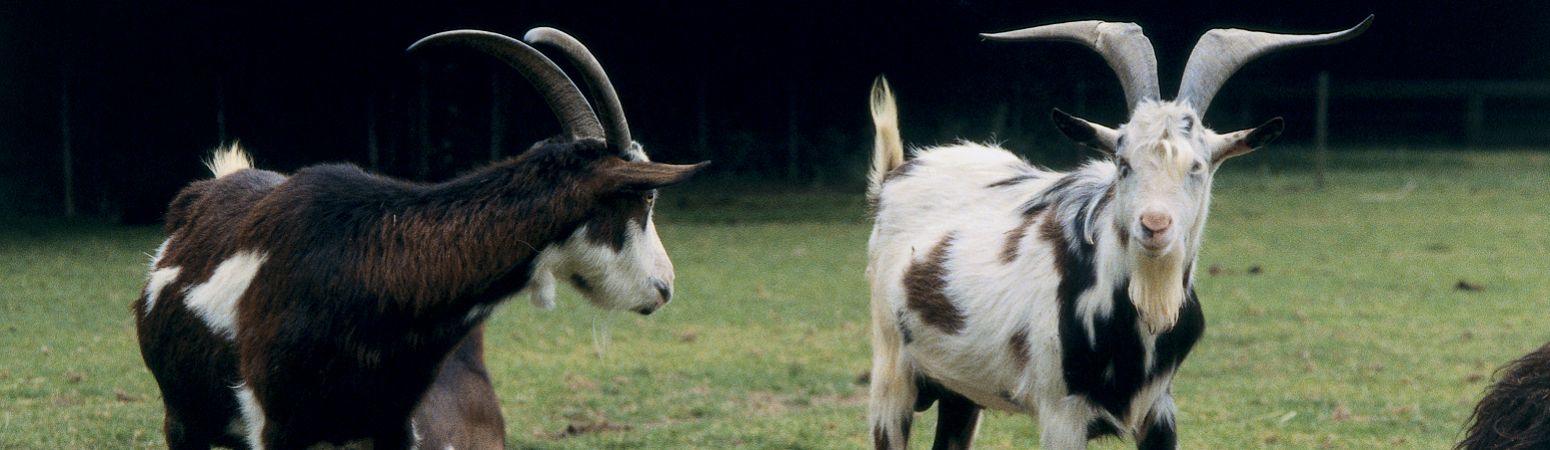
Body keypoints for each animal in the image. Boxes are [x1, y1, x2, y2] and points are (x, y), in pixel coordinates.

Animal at [133, 27, 705, 449]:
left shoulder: (392, 422)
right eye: (643, 199)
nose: (664, 286)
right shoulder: (277, 427)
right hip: (183, 421)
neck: (367, 264)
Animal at [865, 17, 1371, 449]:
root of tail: (896, 173)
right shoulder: (1061, 415)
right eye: (1122, 163)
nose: (1155, 225)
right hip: (892, 373)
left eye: (1198, 167)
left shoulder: (1159, 410)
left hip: (959, 392)